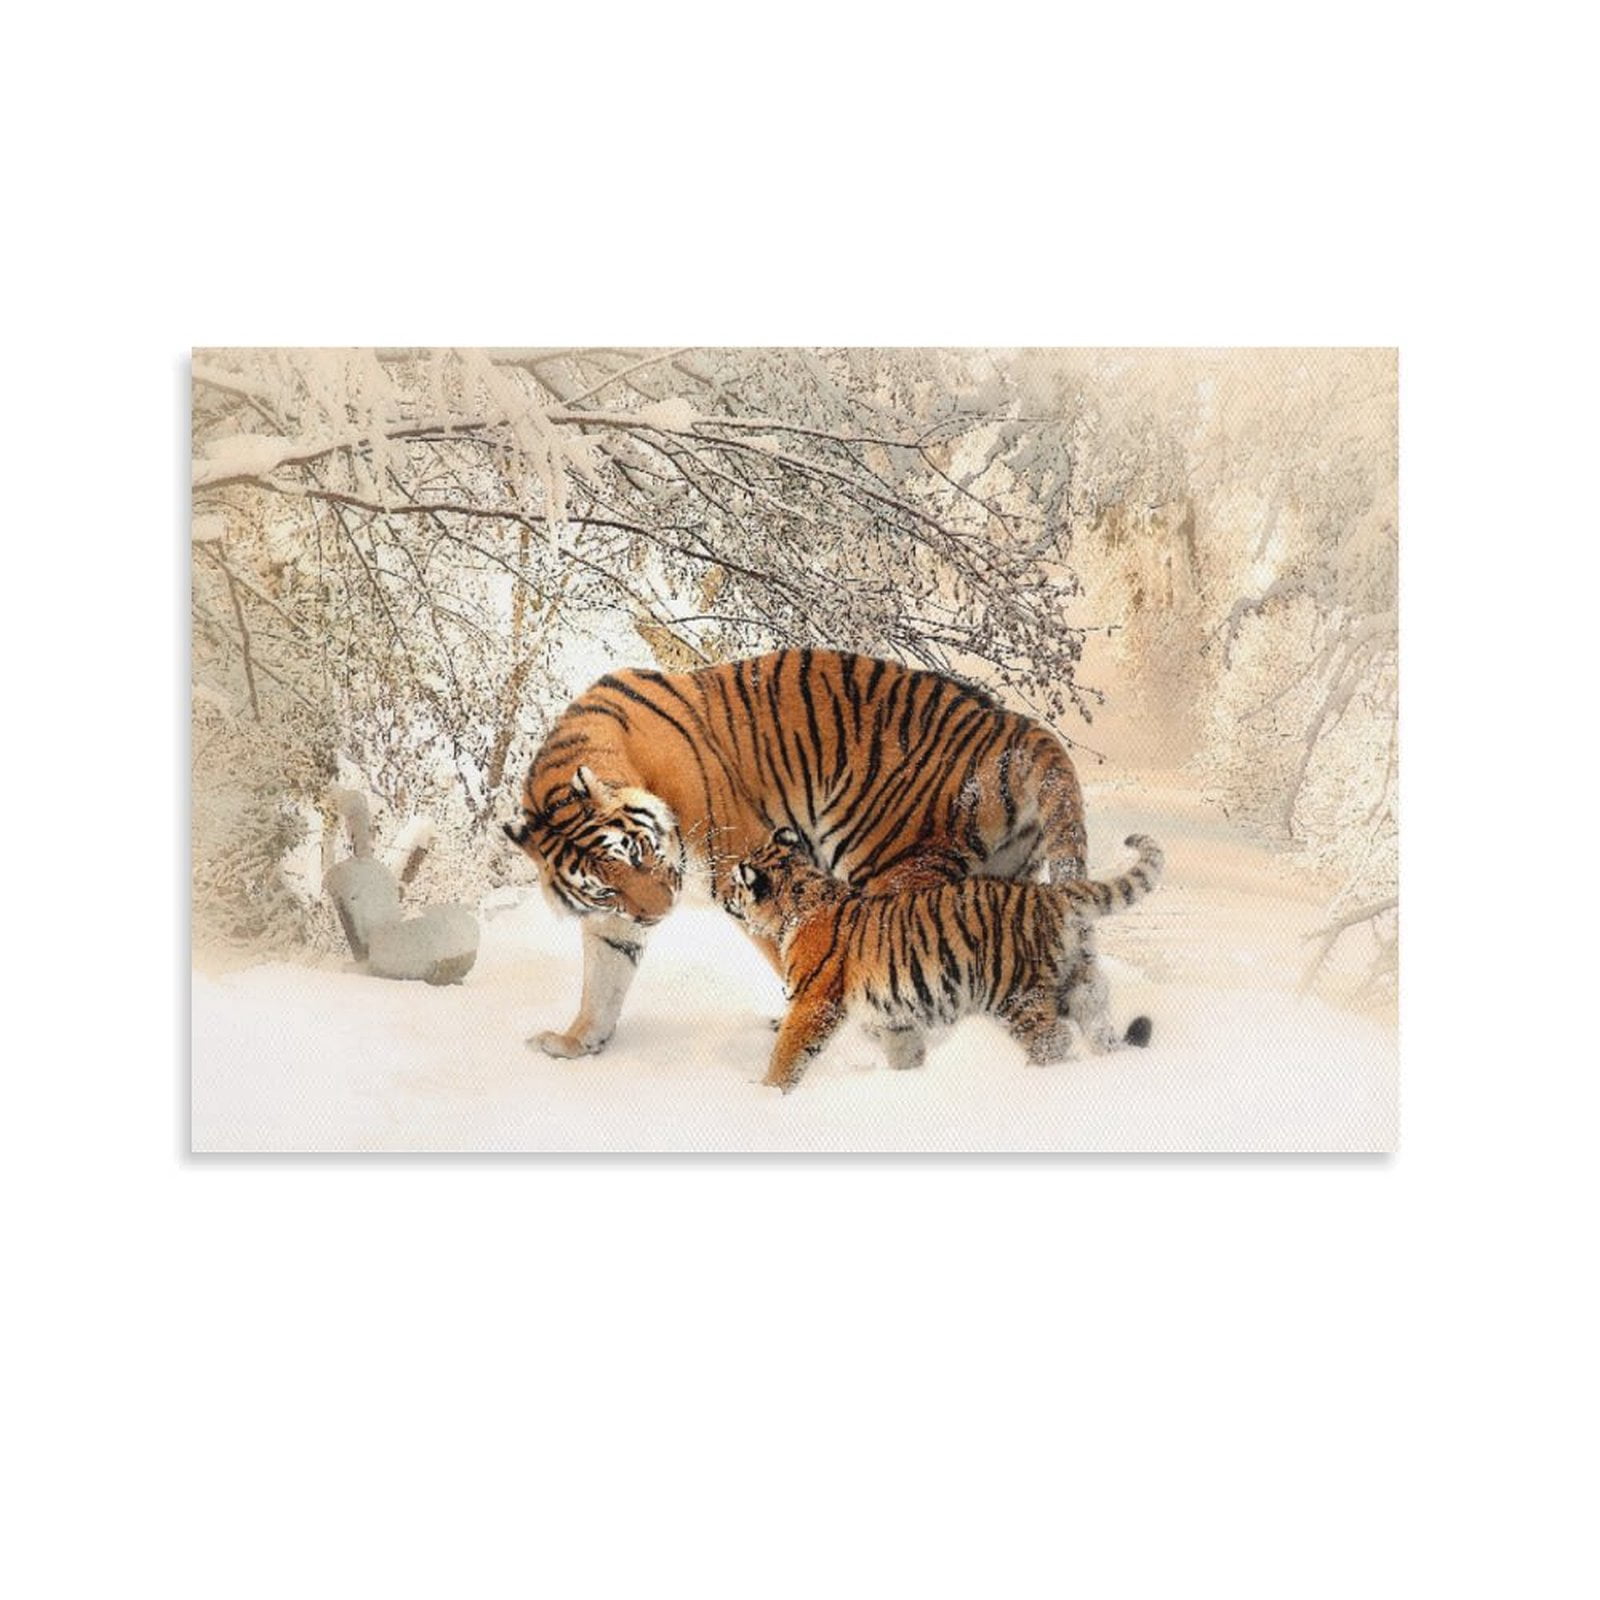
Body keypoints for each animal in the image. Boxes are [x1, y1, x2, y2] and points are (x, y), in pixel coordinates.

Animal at [504, 649, 1089, 1059]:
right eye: (605, 887)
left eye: (640, 852)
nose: (659, 914)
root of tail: (1015, 725)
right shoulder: (613, 920)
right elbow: (602, 981)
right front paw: (576, 1043)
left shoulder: (744, 867)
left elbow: (791, 955)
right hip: (1002, 877)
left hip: (890, 863)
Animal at [723, 828, 1162, 1092]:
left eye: (735, 883)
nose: (723, 895)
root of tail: (1051, 893)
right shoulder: (895, 1015)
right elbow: (904, 1052)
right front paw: (909, 1081)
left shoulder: (813, 1003)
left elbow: (787, 1052)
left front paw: (767, 1093)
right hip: (1080, 983)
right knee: (1098, 1027)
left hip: (1015, 994)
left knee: (1053, 1040)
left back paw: (1032, 1080)